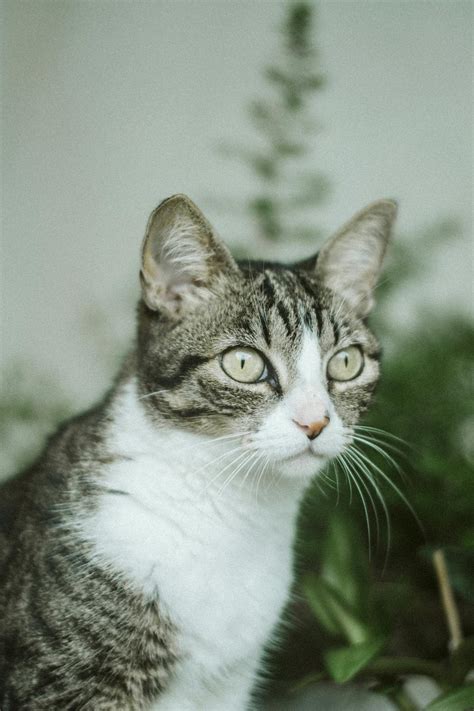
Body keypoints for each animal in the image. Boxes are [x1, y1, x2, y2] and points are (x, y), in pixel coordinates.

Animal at [0, 192, 396, 708]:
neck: (227, 511)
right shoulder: (63, 682)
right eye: (244, 364)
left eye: (346, 362)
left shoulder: (230, 685)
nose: (315, 422)